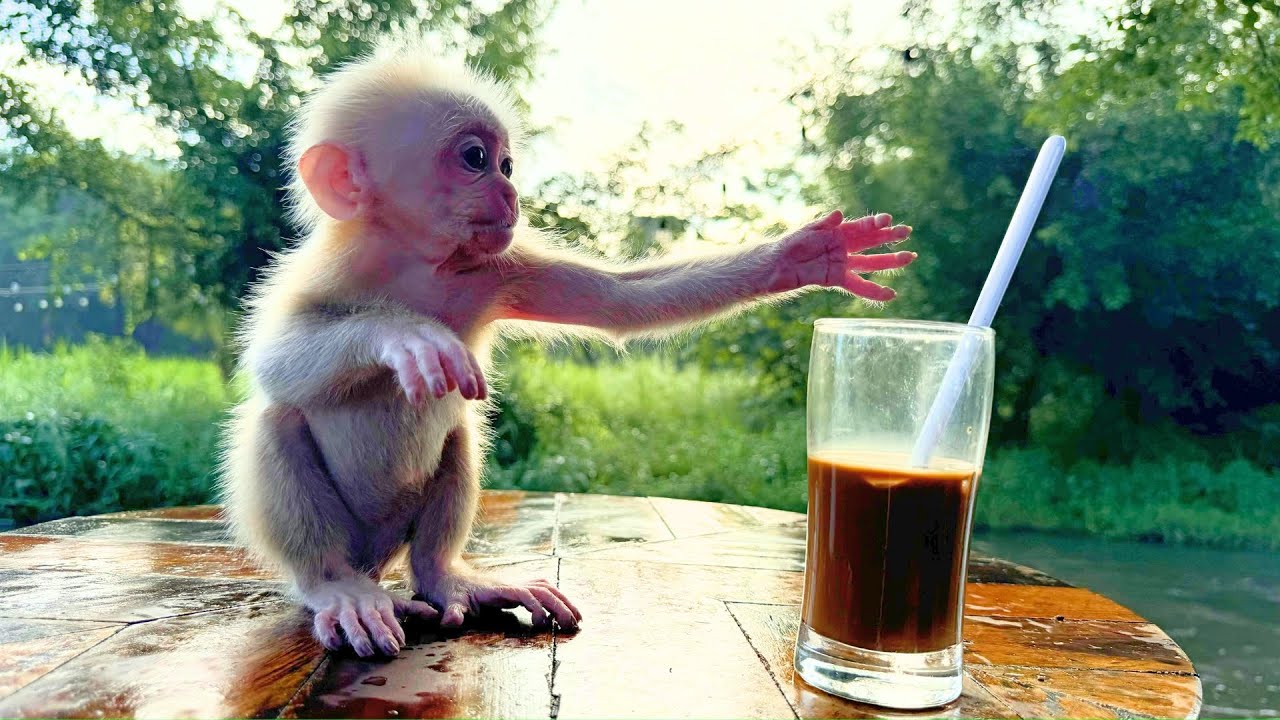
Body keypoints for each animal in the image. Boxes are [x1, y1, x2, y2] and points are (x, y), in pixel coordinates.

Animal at [218, 39, 917, 658]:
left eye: (505, 165)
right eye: (475, 158)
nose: (510, 194)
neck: (414, 262)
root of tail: (373, 561)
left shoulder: (496, 267)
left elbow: (618, 302)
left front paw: (803, 256)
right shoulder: (317, 272)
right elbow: (273, 362)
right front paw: (405, 334)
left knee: (457, 434)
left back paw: (447, 576)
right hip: (342, 542)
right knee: (279, 419)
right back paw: (335, 585)